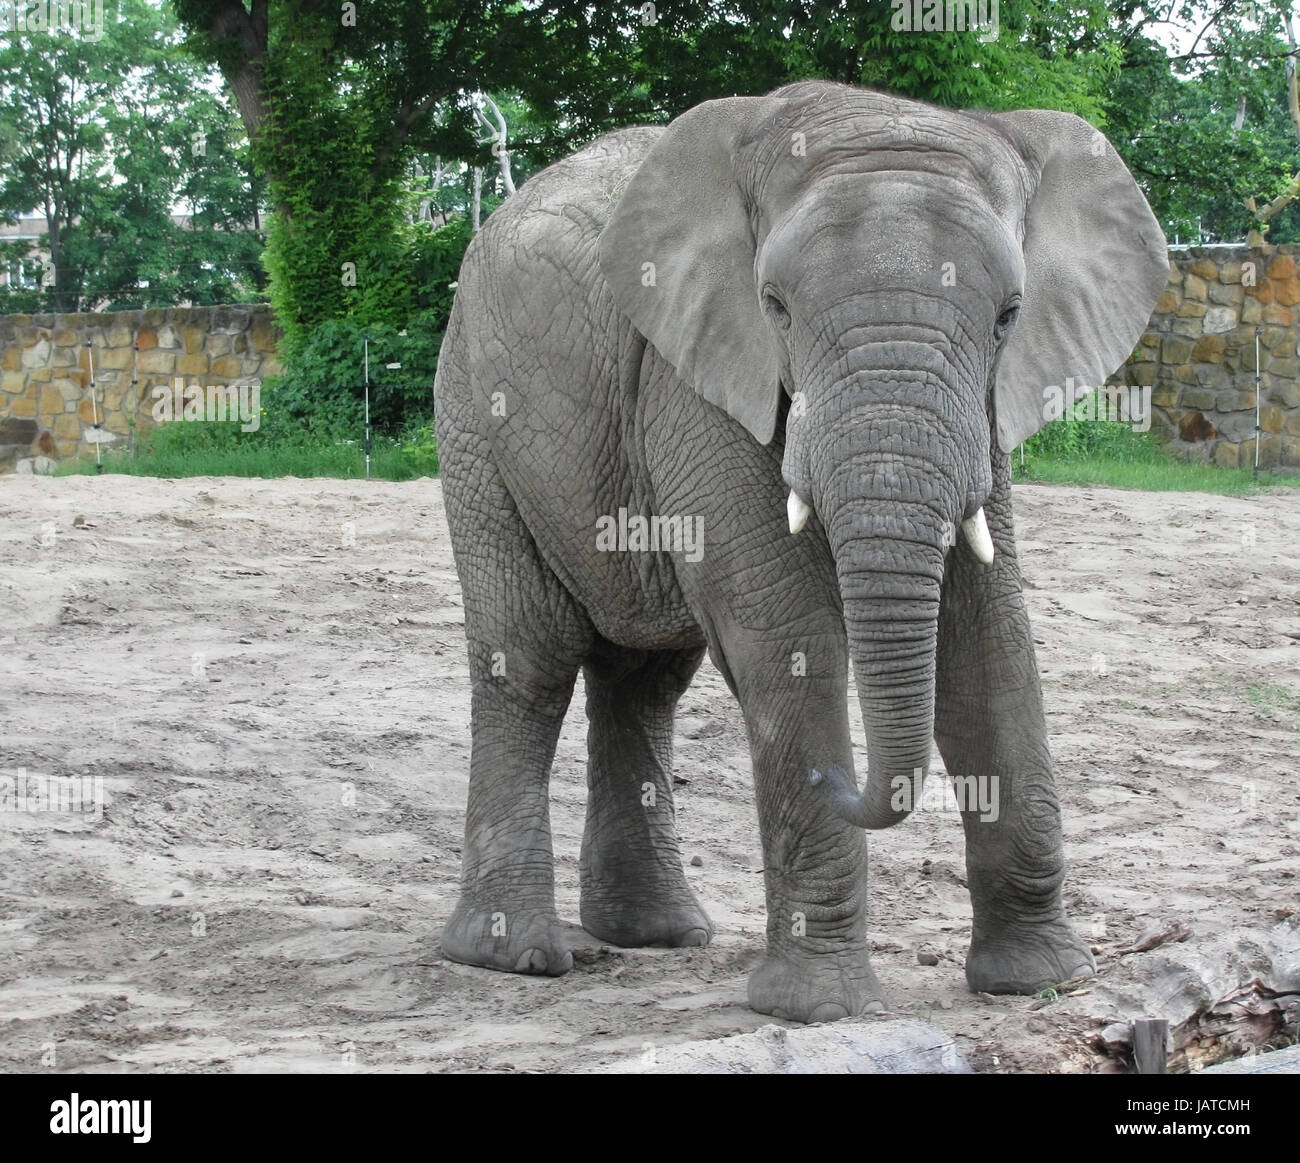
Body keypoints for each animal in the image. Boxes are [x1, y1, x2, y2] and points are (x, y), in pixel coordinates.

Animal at [432, 80, 1168, 1023]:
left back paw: (657, 935)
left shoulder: (987, 407)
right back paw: (513, 956)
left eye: (1009, 316)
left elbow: (991, 637)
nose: (850, 783)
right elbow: (787, 635)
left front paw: (1043, 979)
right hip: (471, 414)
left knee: (643, 676)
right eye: (775, 305)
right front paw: (819, 1009)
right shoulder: (700, 377)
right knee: (529, 658)